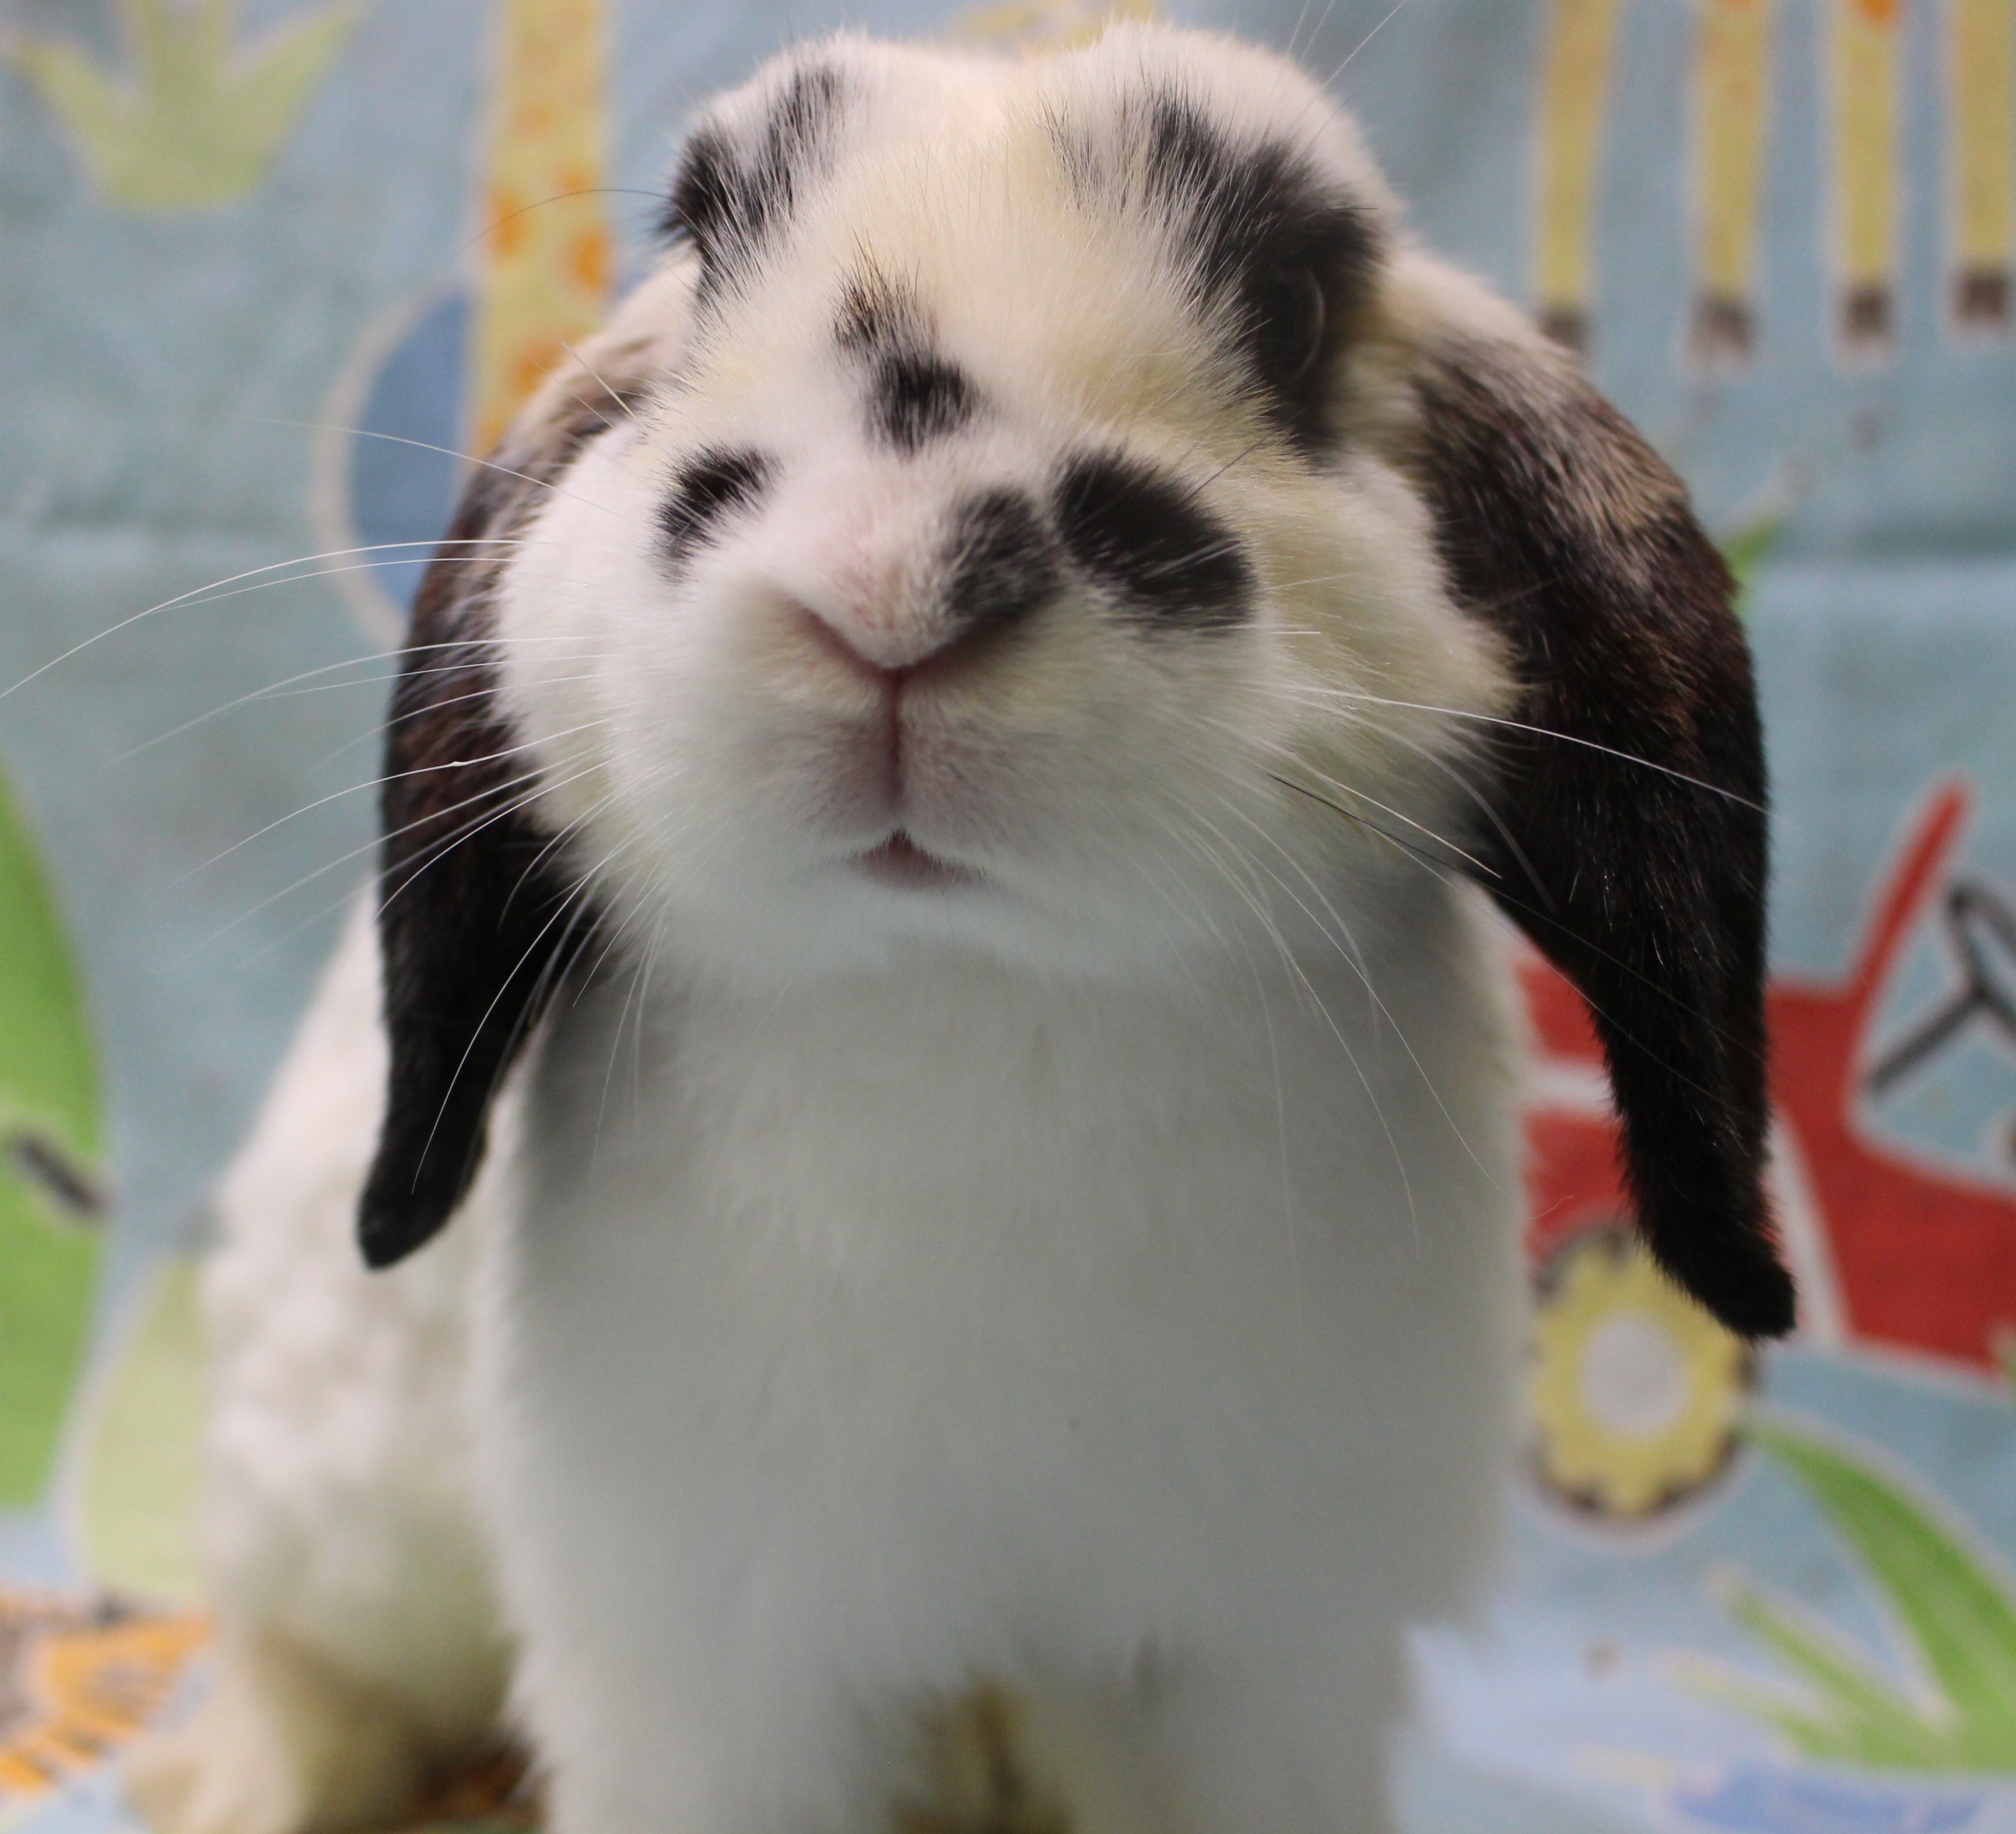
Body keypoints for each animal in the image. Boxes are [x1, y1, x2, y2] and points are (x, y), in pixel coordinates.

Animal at [127, 23, 1793, 1834]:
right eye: (705, 248)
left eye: (1289, 304)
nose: (888, 587)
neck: (978, 1000)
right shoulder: (706, 1669)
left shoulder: (1250, 1664)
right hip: (336, 1491)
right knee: (313, 1657)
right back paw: (232, 1788)